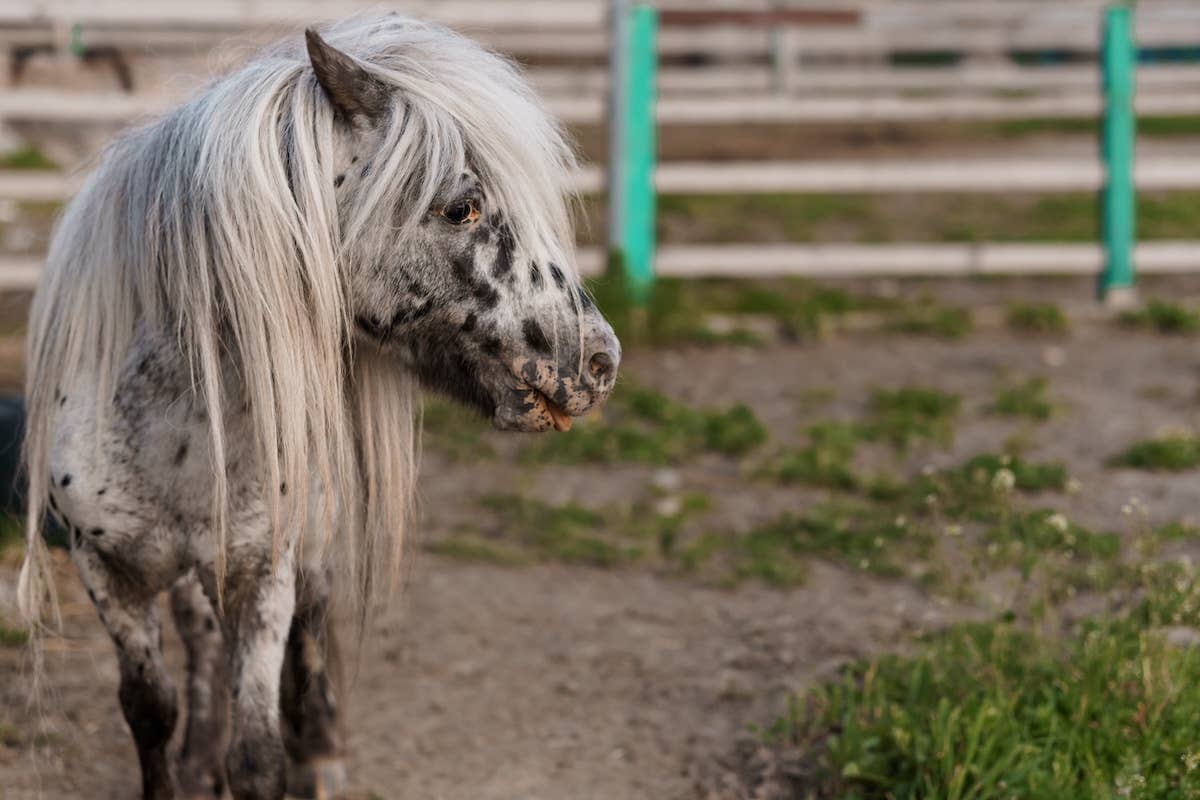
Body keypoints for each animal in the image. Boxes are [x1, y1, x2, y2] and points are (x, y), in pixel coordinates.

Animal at [18, 16, 620, 799]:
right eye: (461, 206)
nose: (600, 361)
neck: (169, 435)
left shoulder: (262, 570)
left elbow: (258, 754)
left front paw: (291, 756)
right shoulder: (106, 573)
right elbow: (150, 711)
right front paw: (185, 764)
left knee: (312, 611)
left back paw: (319, 746)